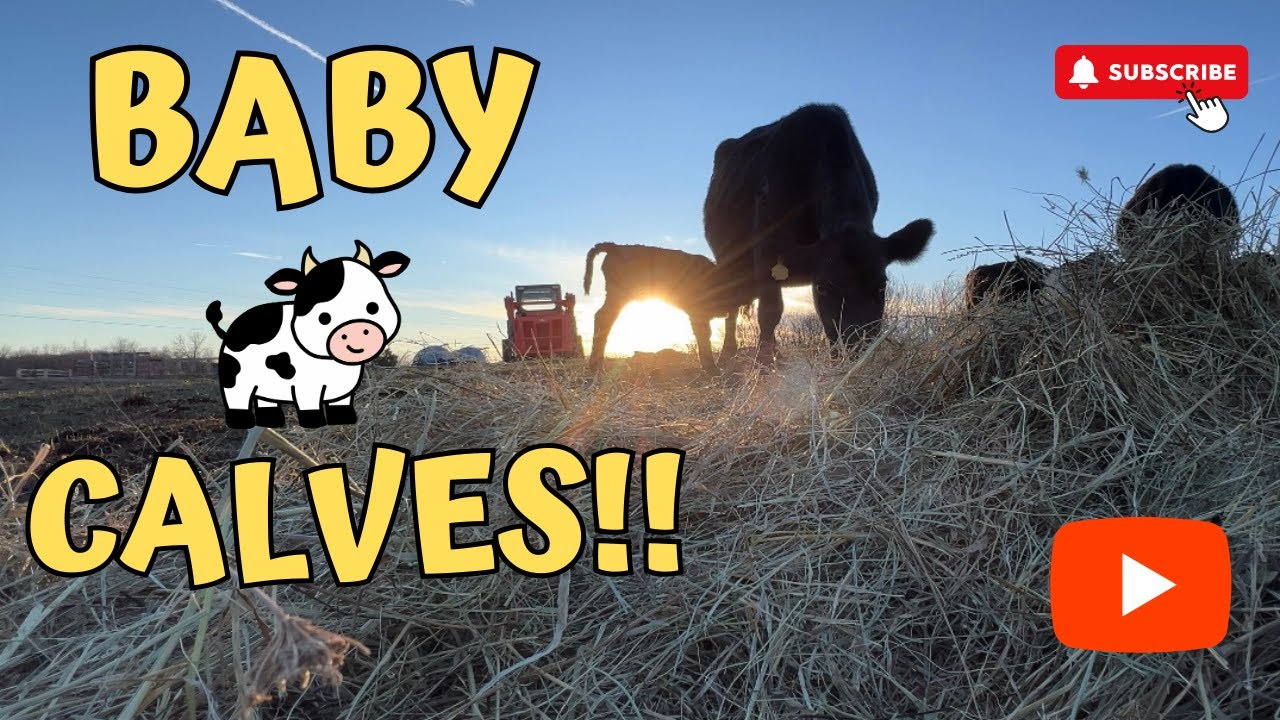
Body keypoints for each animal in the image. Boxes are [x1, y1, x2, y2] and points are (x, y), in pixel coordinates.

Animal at [206, 240, 410, 429]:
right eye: (323, 317)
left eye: (373, 307)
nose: (355, 330)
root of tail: (229, 331)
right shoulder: (305, 386)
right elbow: (309, 404)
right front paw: (314, 424)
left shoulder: (344, 389)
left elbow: (340, 404)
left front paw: (344, 420)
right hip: (233, 375)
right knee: (237, 398)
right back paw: (242, 422)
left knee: (265, 399)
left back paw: (273, 422)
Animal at [583, 242, 746, 372]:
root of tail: (615, 247)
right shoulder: (697, 313)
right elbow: (704, 335)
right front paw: (711, 367)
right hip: (619, 295)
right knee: (603, 317)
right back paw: (596, 366)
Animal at [702, 103, 935, 365]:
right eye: (823, 287)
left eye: (881, 287)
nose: (854, 352)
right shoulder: (765, 248)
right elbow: (770, 311)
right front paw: (763, 366)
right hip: (728, 260)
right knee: (731, 306)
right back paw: (727, 356)